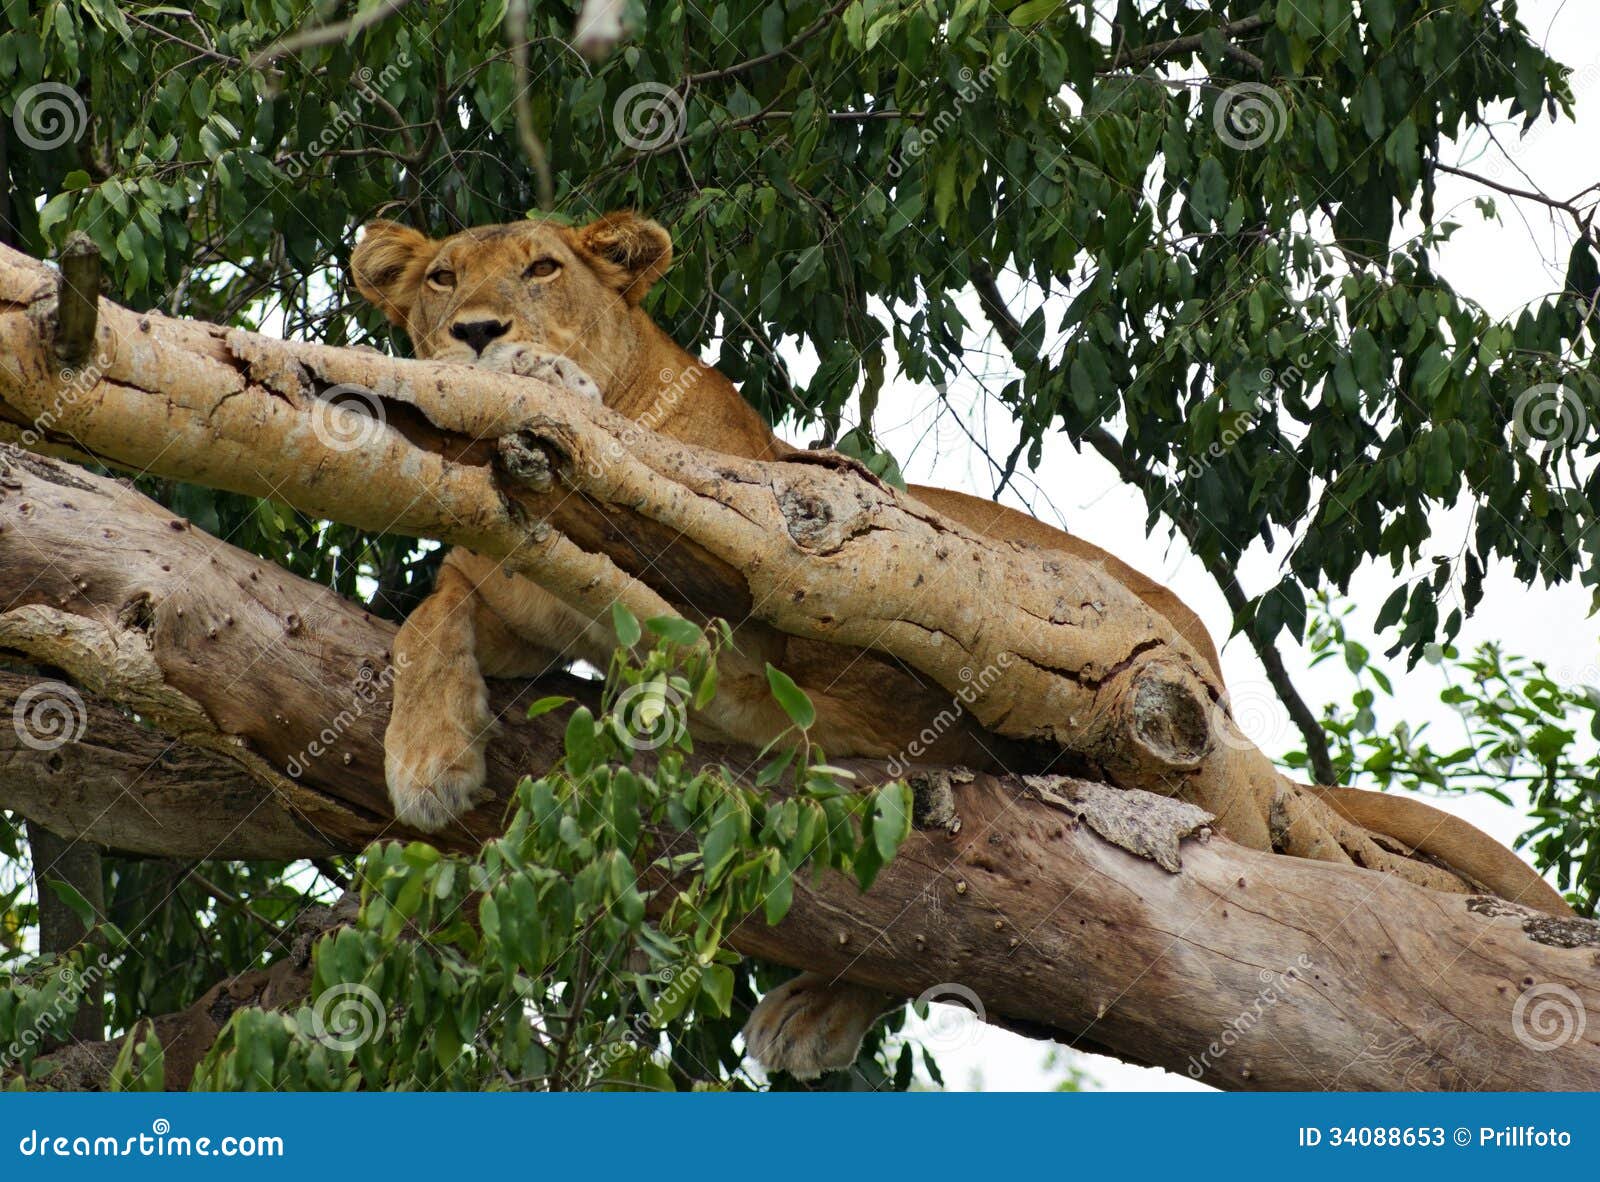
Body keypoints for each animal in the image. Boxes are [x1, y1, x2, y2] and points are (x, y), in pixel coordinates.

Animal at [352, 211, 1570, 1080]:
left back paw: (815, 1007)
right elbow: (431, 614)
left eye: (544, 269)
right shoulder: (505, 590)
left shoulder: (740, 584)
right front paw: (429, 756)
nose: (474, 337)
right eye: (441, 279)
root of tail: (1211, 669)